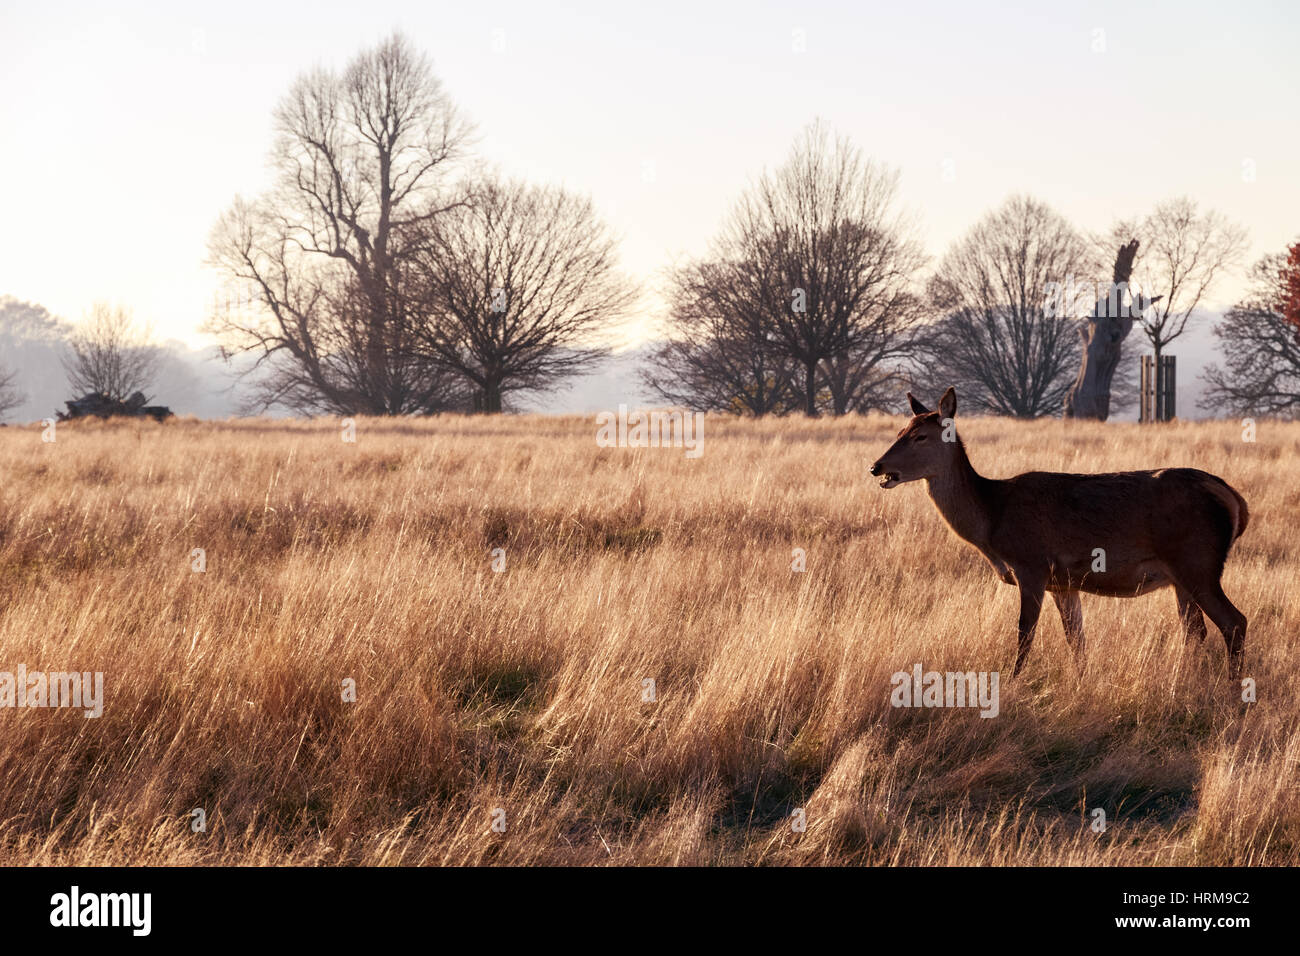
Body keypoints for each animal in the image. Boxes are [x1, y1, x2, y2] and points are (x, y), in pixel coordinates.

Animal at [869, 387, 1250, 680]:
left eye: (921, 436)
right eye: (899, 431)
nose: (876, 466)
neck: (992, 519)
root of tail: (1235, 500)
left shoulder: (1032, 566)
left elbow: (1024, 636)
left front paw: (1012, 684)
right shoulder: (1064, 583)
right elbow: (1076, 642)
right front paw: (1082, 683)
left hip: (1198, 562)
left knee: (1234, 622)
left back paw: (1232, 691)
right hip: (1180, 576)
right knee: (1195, 631)